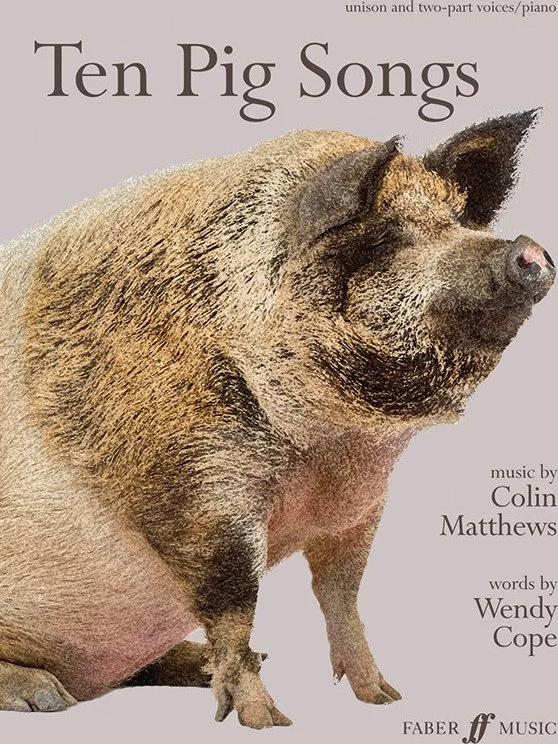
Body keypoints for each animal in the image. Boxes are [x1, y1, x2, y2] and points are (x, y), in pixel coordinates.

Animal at [0, 110, 553, 728]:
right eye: (387, 236)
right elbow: (235, 608)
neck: (330, 446)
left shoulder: (359, 505)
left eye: (459, 219)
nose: (528, 248)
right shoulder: (199, 484)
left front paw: (384, 697)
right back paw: (47, 697)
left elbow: (342, 593)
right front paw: (269, 721)